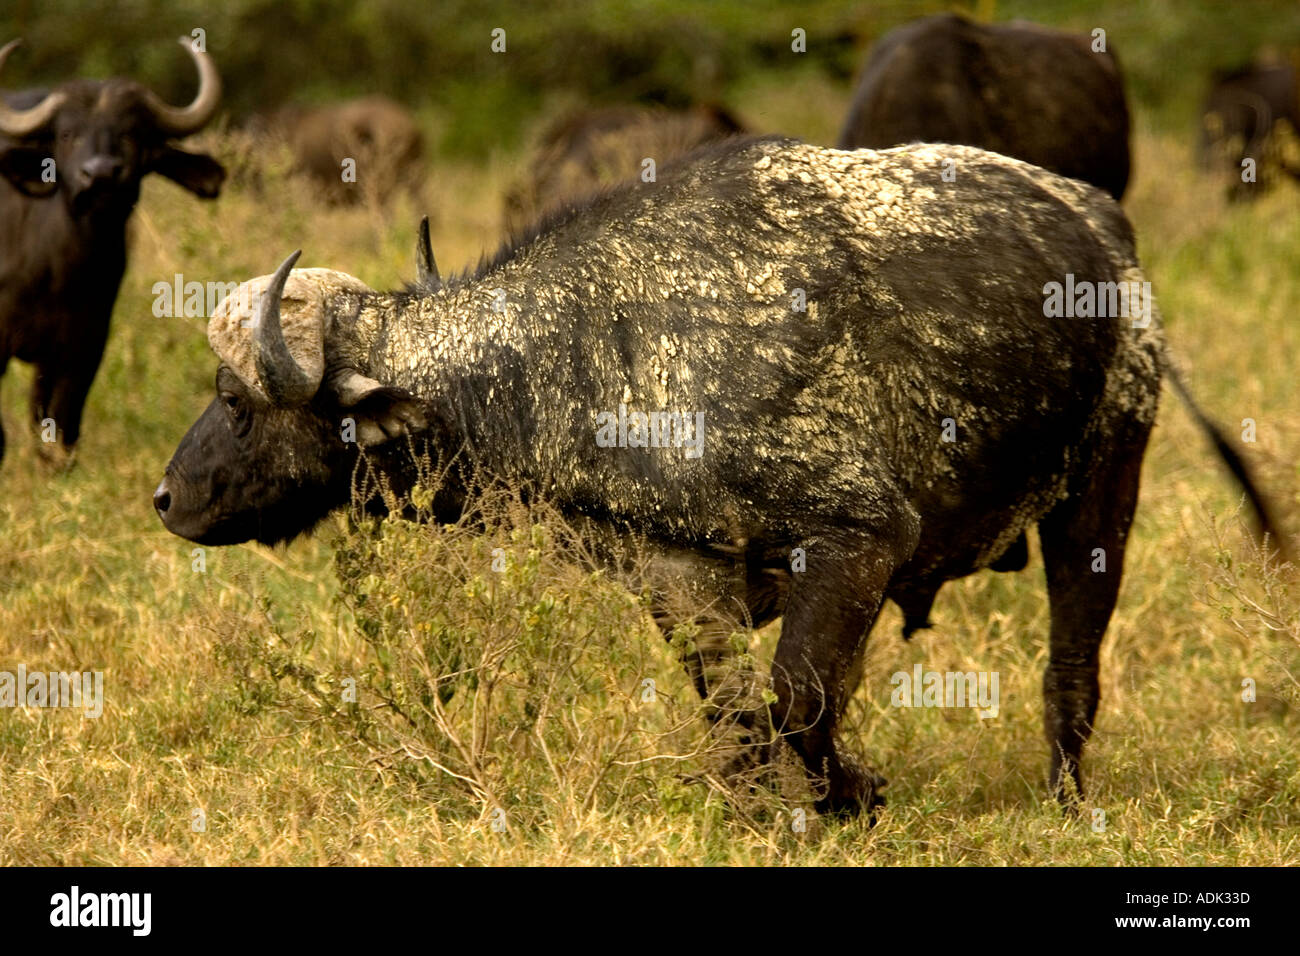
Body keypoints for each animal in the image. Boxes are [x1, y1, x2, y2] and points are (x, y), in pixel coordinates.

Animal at [0, 37, 223, 465]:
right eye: (66, 135)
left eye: (132, 135)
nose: (100, 174)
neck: (58, 268)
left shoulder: (84, 344)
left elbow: (60, 425)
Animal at [153, 137, 1284, 816]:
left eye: (236, 398)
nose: (166, 498)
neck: (606, 349)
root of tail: (1102, 226)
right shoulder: (675, 573)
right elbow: (735, 716)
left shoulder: (856, 539)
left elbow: (800, 698)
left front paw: (853, 794)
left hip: (1104, 484)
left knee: (1071, 664)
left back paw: (1064, 796)